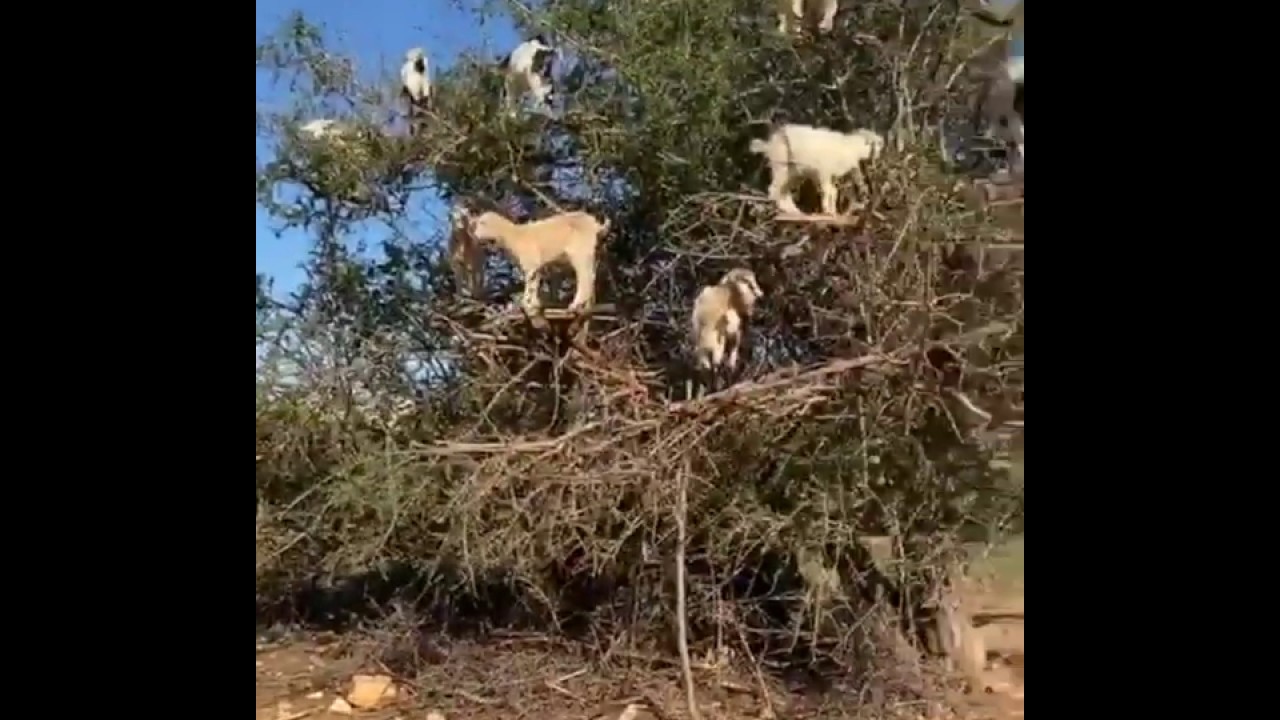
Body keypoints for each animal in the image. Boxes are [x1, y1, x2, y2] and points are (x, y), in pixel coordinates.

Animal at [458, 207, 610, 316]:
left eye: (482, 223)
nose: (475, 235)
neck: (514, 236)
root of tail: (595, 224)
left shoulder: (530, 263)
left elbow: (530, 284)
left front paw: (526, 304)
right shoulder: (536, 266)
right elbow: (535, 283)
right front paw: (534, 304)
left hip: (579, 251)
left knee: (585, 276)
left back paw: (575, 305)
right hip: (589, 252)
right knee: (591, 275)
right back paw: (587, 306)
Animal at [749, 124, 885, 216]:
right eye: (875, 143)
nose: (879, 154)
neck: (850, 147)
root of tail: (768, 145)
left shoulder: (829, 174)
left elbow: (833, 191)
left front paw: (832, 211)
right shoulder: (824, 171)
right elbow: (828, 191)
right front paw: (827, 210)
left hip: (795, 173)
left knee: (783, 191)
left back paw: (796, 212)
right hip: (782, 166)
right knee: (774, 189)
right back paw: (789, 211)